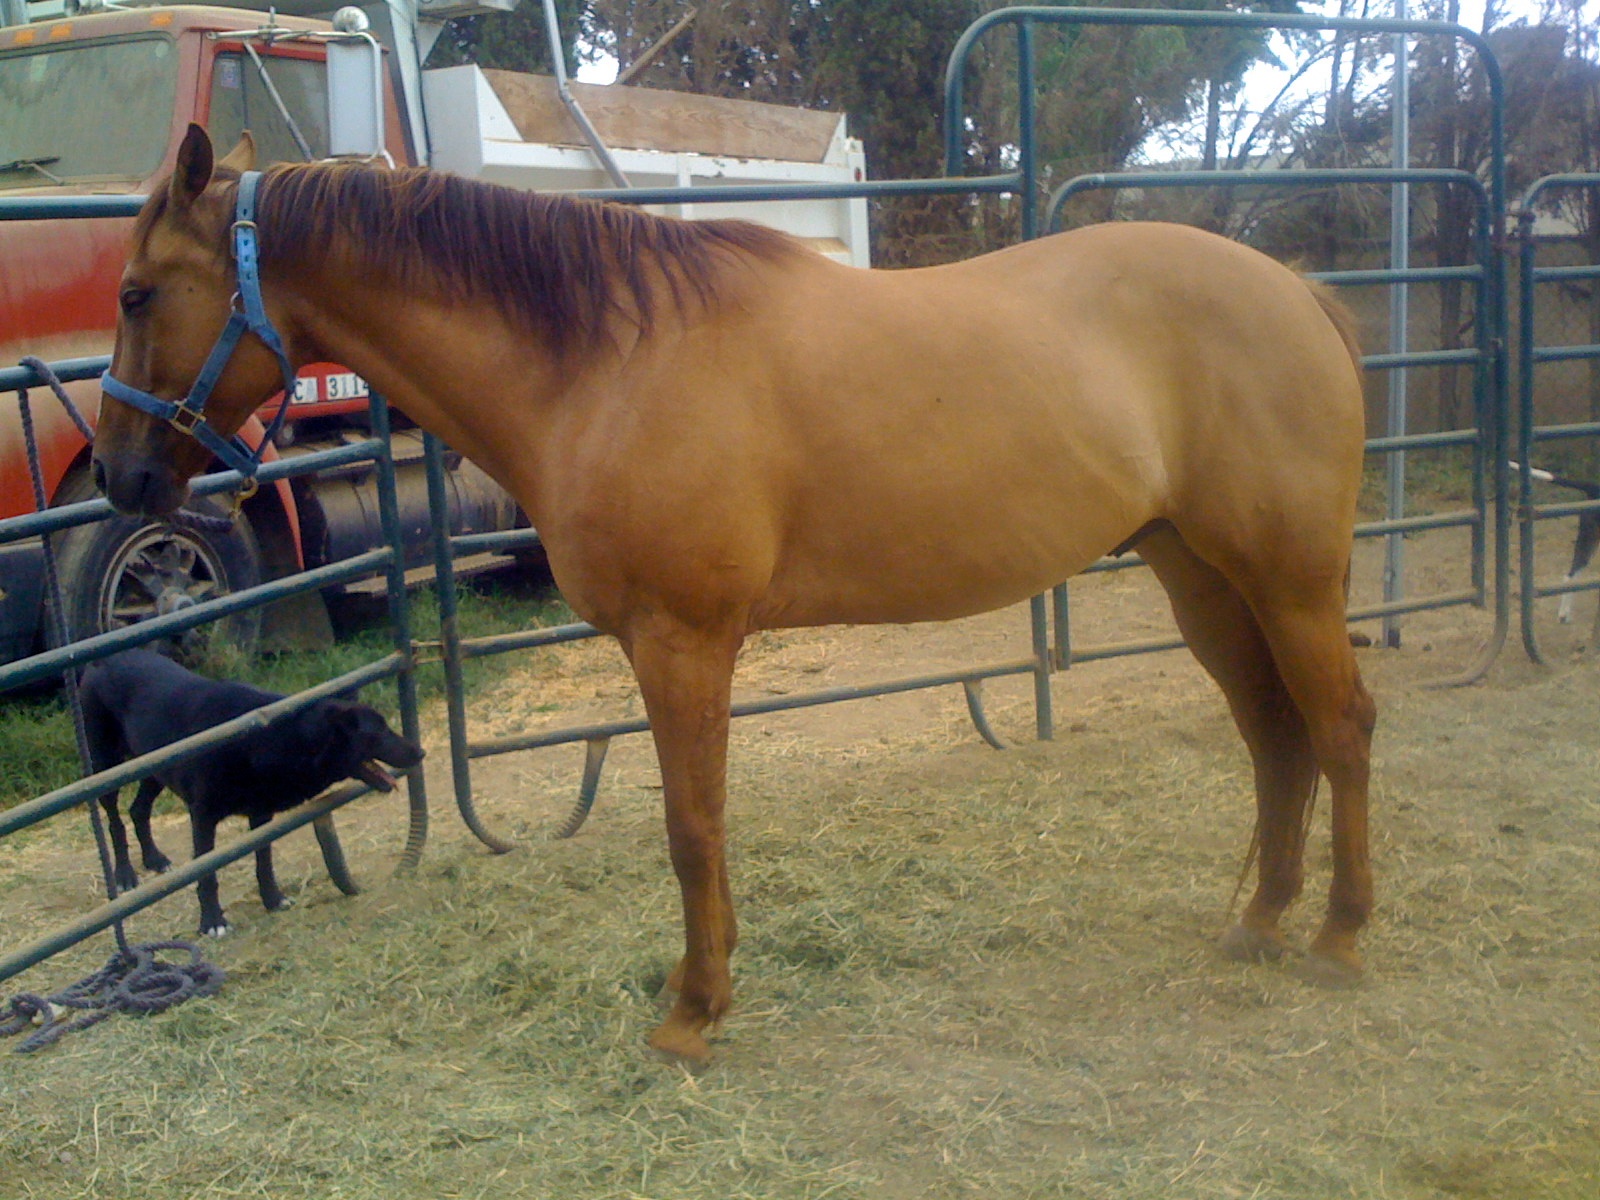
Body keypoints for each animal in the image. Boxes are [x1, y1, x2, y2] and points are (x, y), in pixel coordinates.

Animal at [93, 125, 1376, 1065]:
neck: (605, 360)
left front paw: (694, 1012)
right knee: (1272, 736)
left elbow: (691, 828)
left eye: (139, 293)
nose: (119, 477)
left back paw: (1337, 938)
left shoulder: (682, 643)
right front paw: (695, 990)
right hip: (1199, 576)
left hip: (1288, 581)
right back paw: (1260, 922)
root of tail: (1295, 293)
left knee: (1338, 729)